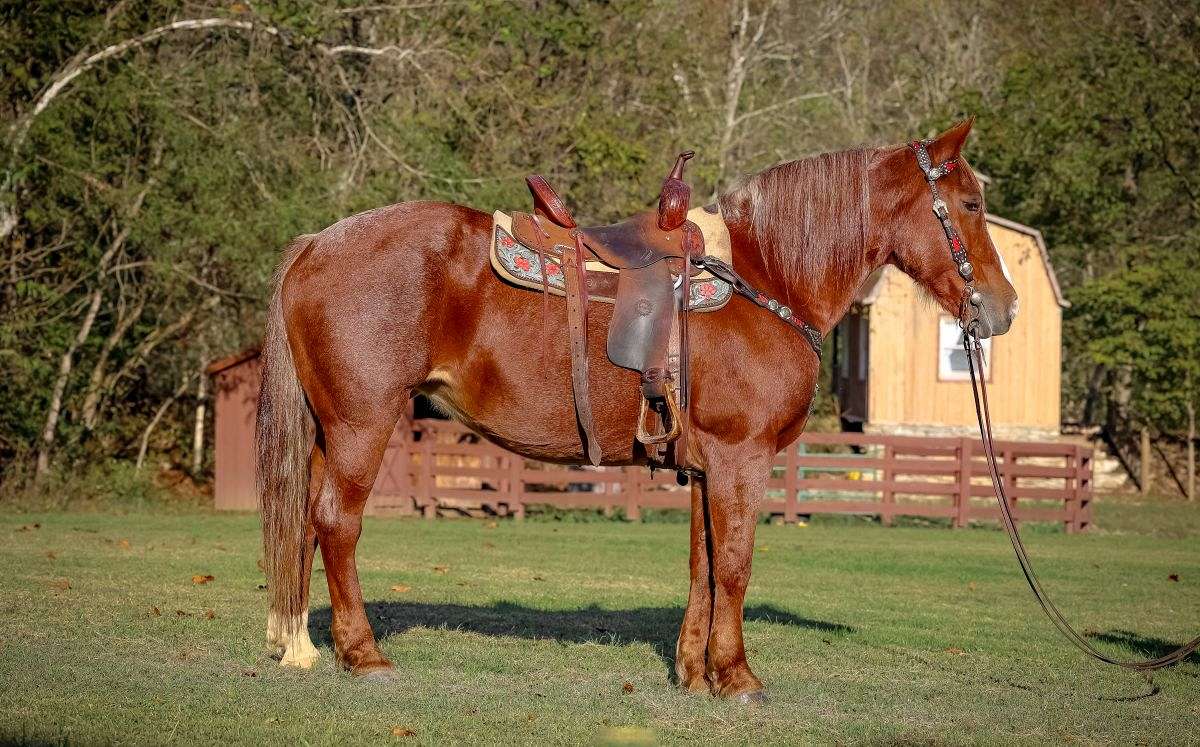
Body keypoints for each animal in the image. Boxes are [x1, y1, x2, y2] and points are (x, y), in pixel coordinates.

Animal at [256, 118, 1018, 701]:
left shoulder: (708, 466)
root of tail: (315, 244)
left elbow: (703, 566)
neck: (766, 278)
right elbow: (734, 564)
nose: (1002, 308)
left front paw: (695, 673)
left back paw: (301, 646)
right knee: (337, 524)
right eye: (969, 204)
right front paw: (738, 678)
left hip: (328, 431)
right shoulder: (742, 458)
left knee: (306, 524)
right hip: (363, 425)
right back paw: (364, 655)